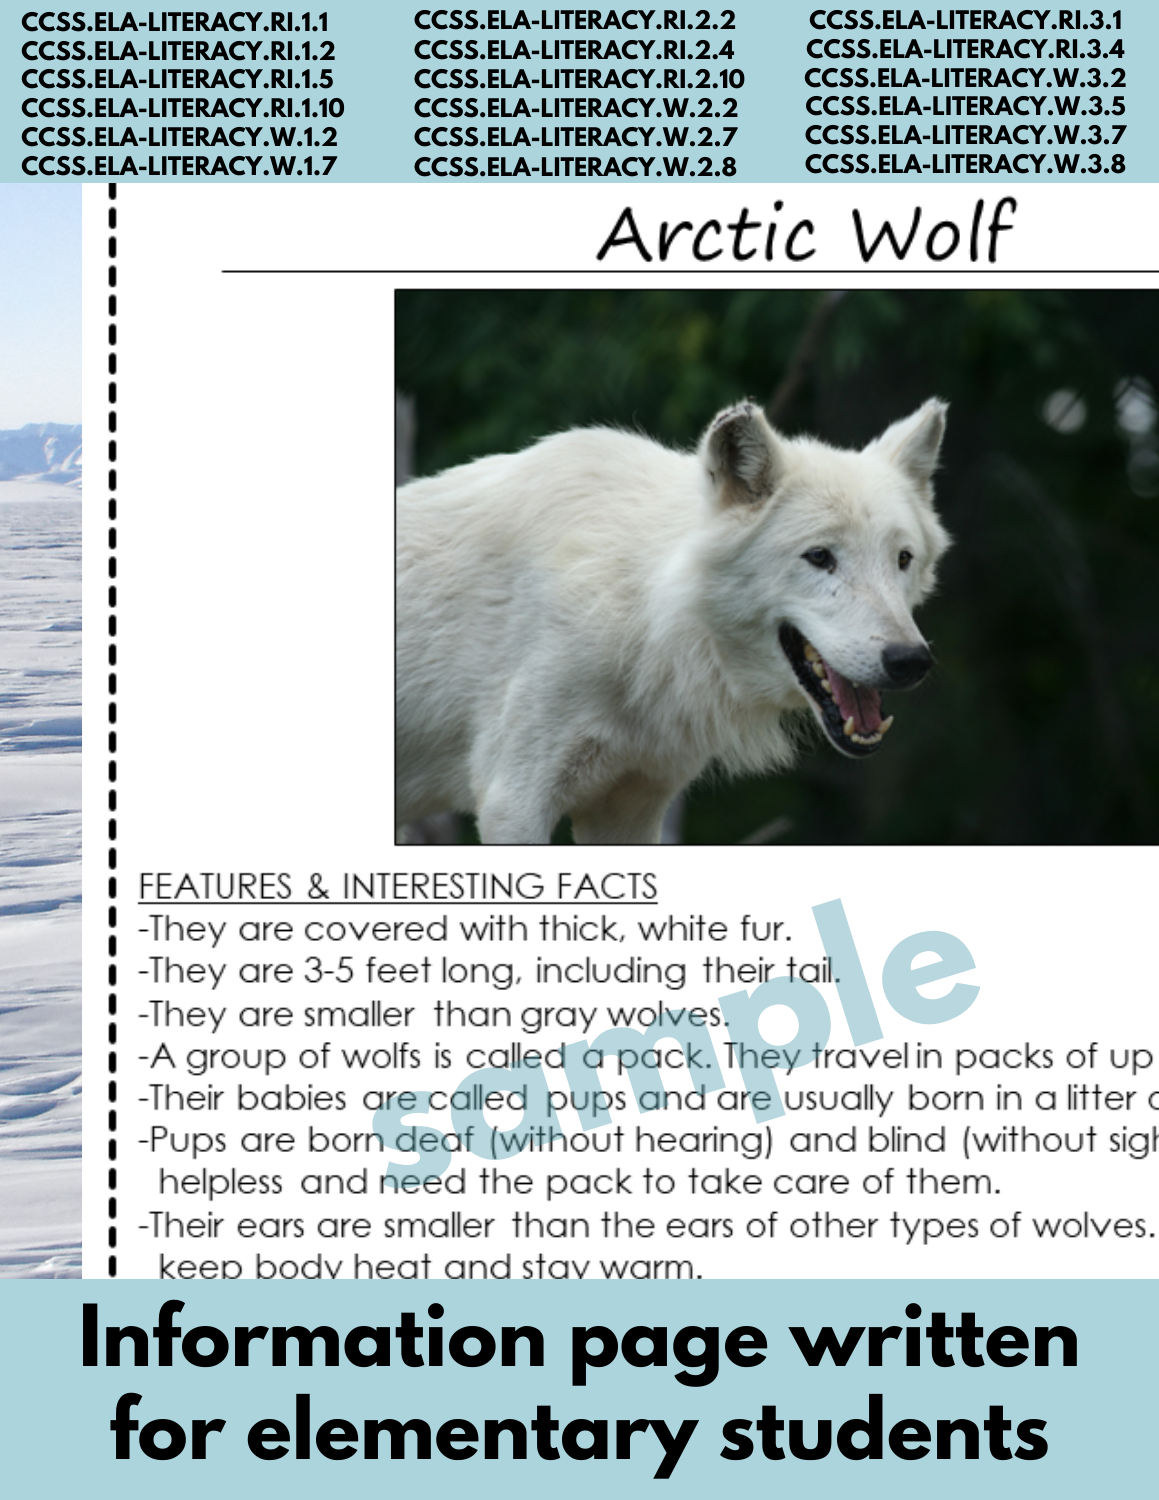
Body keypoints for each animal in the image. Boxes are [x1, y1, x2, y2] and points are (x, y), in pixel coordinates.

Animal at [396, 399, 949, 844]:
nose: (909, 661)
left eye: (902, 559)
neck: (642, 612)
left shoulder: (629, 808)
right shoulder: (514, 802)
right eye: (819, 557)